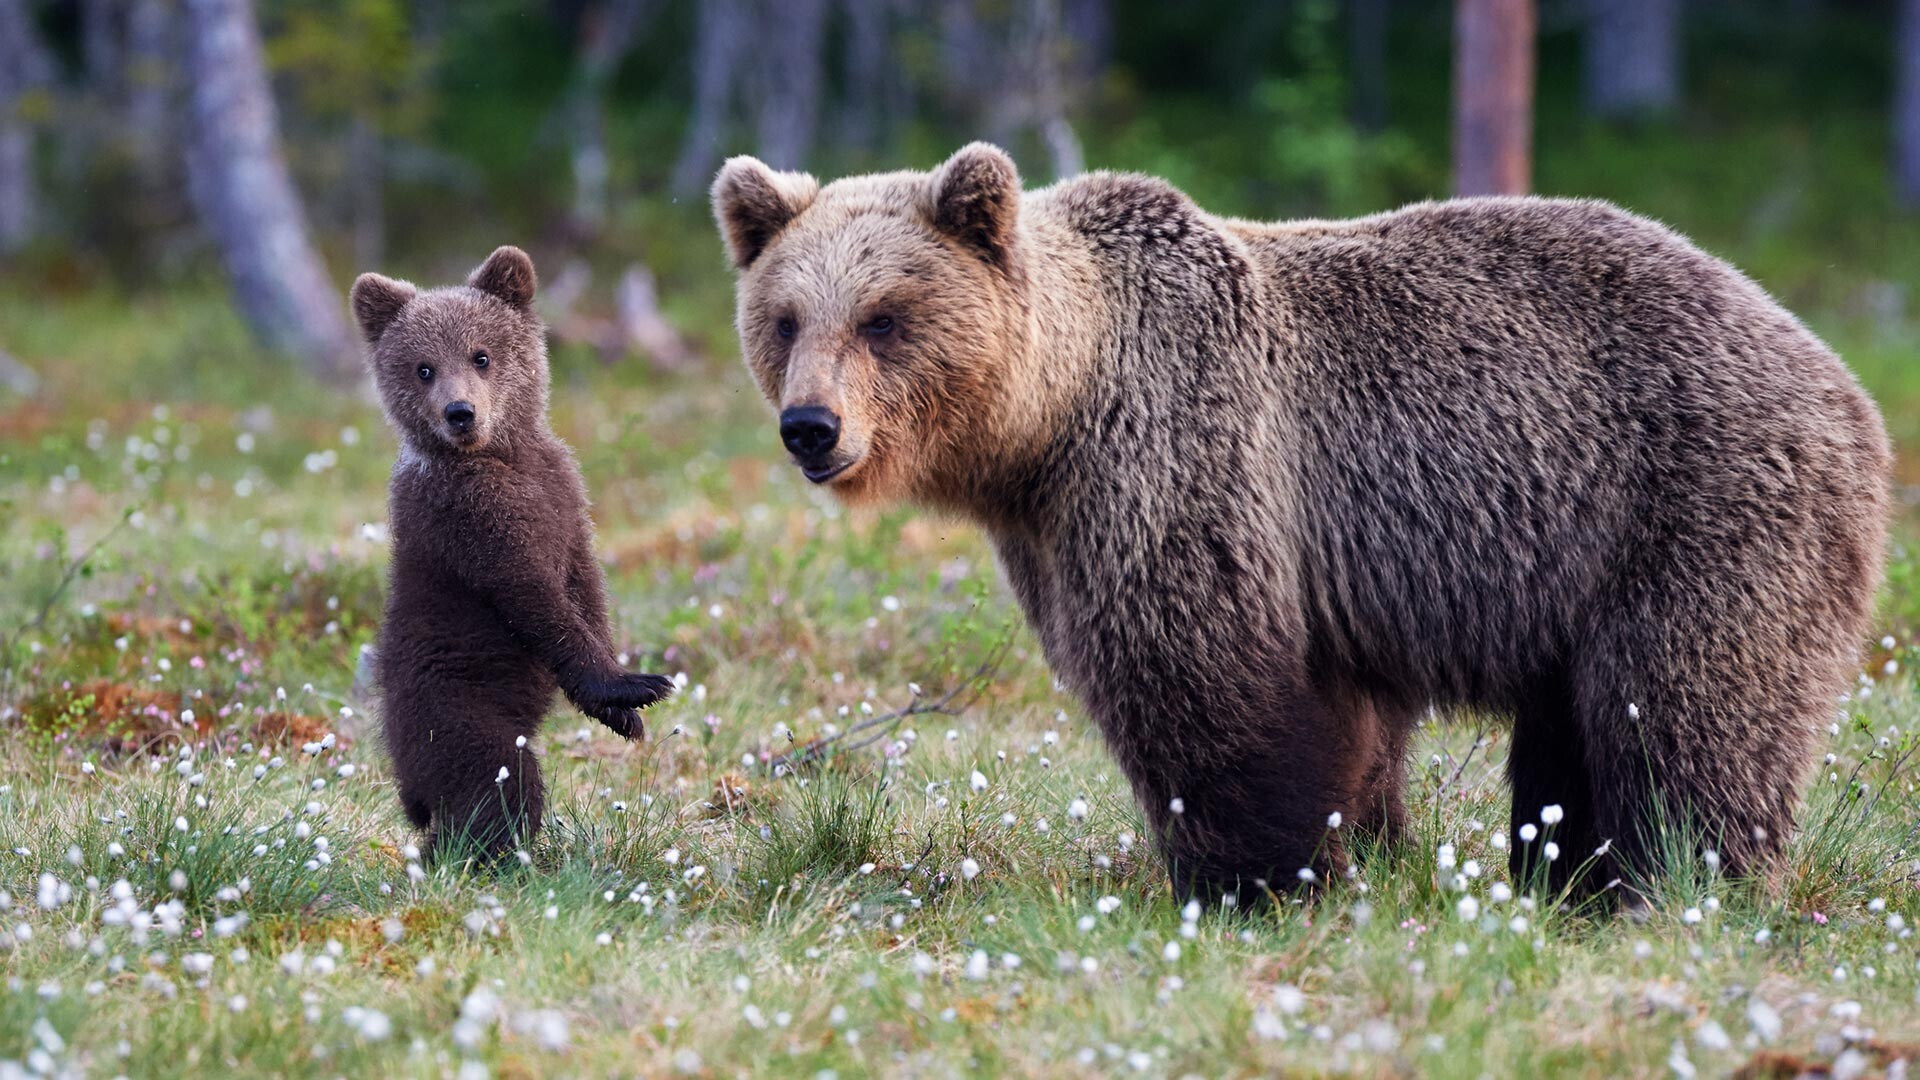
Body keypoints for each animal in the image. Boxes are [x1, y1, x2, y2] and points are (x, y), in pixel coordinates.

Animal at [351, 246, 675, 863]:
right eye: (423, 367)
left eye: (482, 355)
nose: (460, 412)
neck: (499, 457)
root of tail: (405, 781)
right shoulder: (470, 520)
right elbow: (533, 594)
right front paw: (635, 686)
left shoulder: (563, 494)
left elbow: (584, 584)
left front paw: (623, 713)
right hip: (454, 708)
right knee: (499, 783)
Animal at [712, 143, 1892, 906]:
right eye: (786, 319)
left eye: (884, 318)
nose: (810, 427)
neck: (1049, 422)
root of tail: (1844, 383)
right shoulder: (1061, 525)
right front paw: (1364, 851)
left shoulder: (1179, 461)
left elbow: (1207, 681)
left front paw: (1254, 880)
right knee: (1576, 731)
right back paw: (1573, 881)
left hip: (1694, 508)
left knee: (1682, 710)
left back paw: (1679, 882)